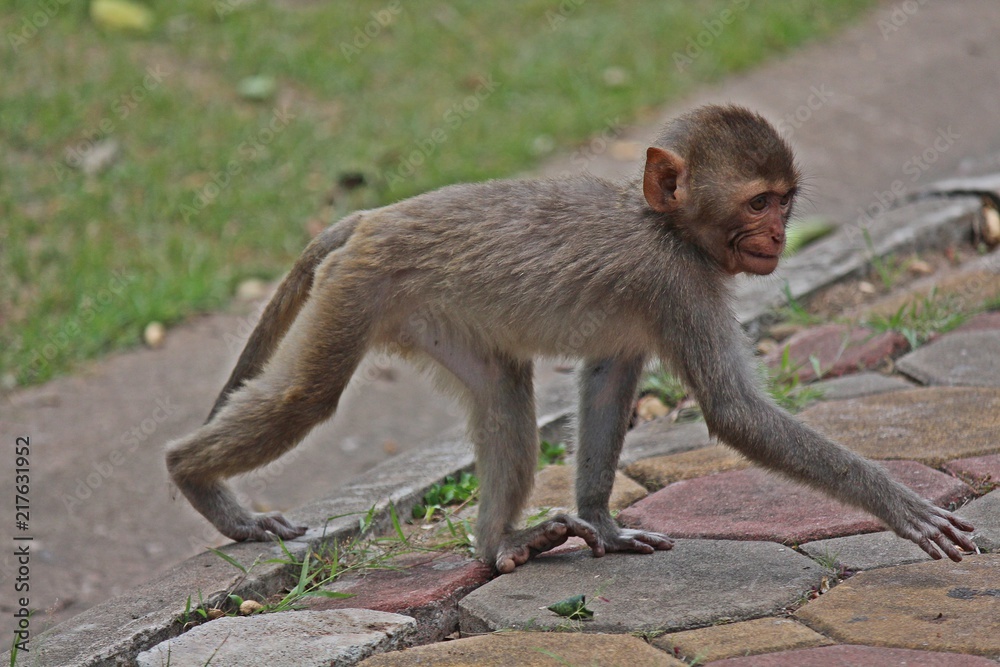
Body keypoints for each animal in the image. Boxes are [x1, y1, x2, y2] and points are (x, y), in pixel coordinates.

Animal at [166, 105, 976, 573]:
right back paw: (195, 479)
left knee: (503, 393)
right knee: (307, 398)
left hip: (424, 313)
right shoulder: (675, 284)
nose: (776, 237)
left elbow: (608, 380)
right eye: (757, 203)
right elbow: (734, 413)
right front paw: (901, 505)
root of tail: (374, 216)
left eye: (785, 202)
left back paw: (499, 547)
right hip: (359, 289)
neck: (666, 226)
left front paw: (603, 522)